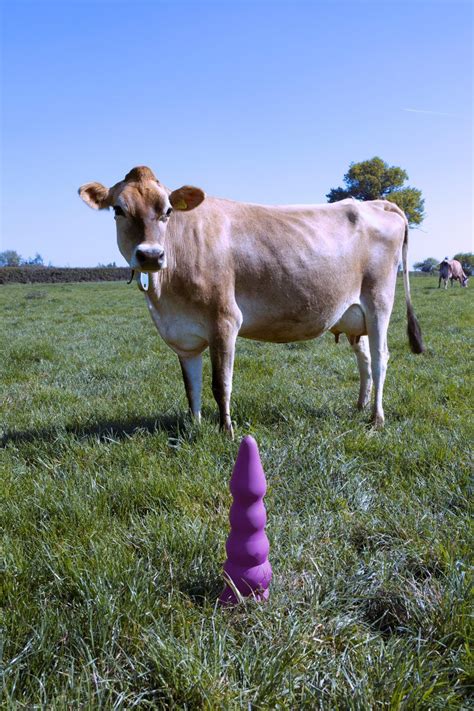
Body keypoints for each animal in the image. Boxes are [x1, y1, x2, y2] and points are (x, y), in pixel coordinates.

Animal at [79, 166, 424, 436]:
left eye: (167, 211)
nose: (150, 255)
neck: (166, 299)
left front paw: (226, 431)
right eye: (119, 210)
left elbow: (221, 383)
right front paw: (195, 427)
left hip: (379, 301)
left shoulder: (224, 320)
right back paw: (360, 405)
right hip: (354, 314)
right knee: (364, 358)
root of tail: (374, 204)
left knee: (380, 357)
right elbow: (191, 386)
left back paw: (376, 418)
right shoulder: (183, 334)